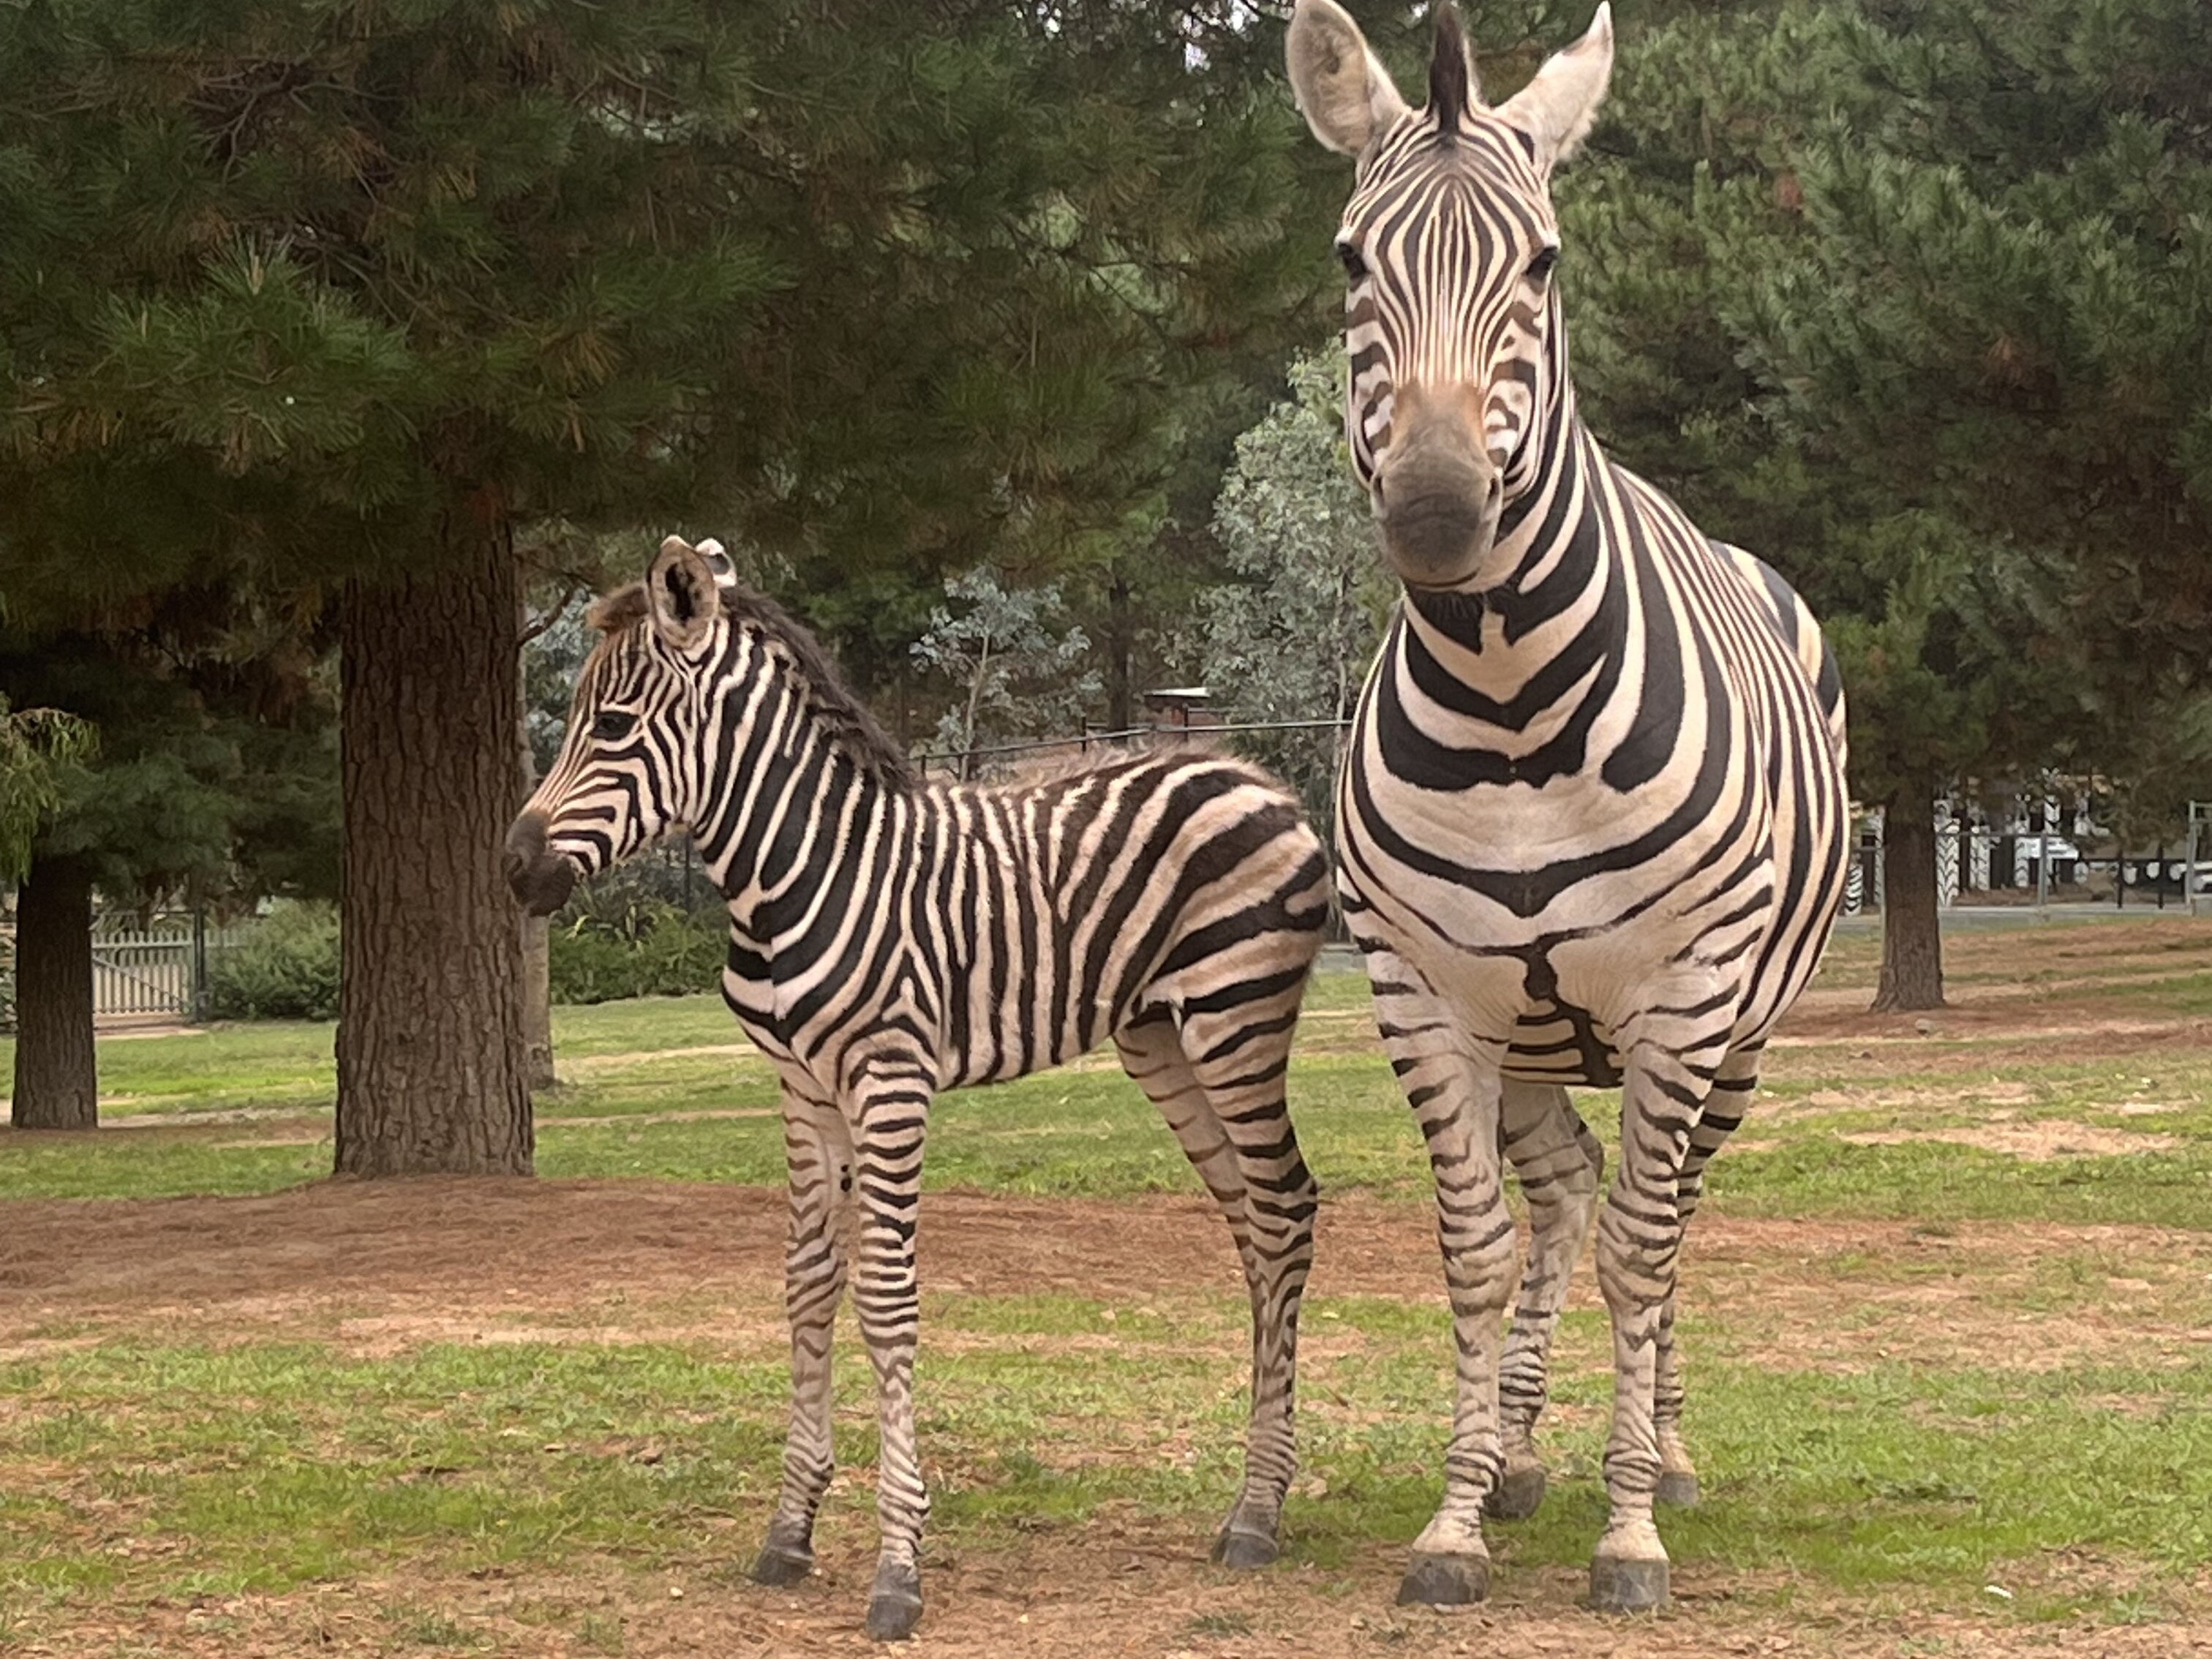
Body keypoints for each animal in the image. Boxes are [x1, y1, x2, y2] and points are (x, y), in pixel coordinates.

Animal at [505, 536, 1330, 1641]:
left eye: (613, 727)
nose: (515, 870)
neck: (795, 874)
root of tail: (1256, 774)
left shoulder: (890, 1078)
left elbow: (887, 1300)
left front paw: (898, 1567)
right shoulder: (802, 1091)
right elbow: (809, 1284)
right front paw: (790, 1530)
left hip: (1236, 1017)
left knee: (1285, 1209)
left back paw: (1258, 1515)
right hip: (1160, 1038)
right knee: (1253, 1226)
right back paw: (1251, 1494)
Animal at [1287, 0, 1850, 1613]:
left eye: (1541, 264)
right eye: (1349, 258)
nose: (1434, 515)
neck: (1508, 699)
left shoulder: (1682, 995)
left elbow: (1643, 1261)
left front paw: (1630, 1531)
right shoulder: (1419, 996)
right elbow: (1476, 1251)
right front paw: (1455, 1517)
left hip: (1736, 1038)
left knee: (1664, 1219)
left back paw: (1659, 1449)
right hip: (1530, 1039)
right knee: (1561, 1196)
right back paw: (1525, 1452)